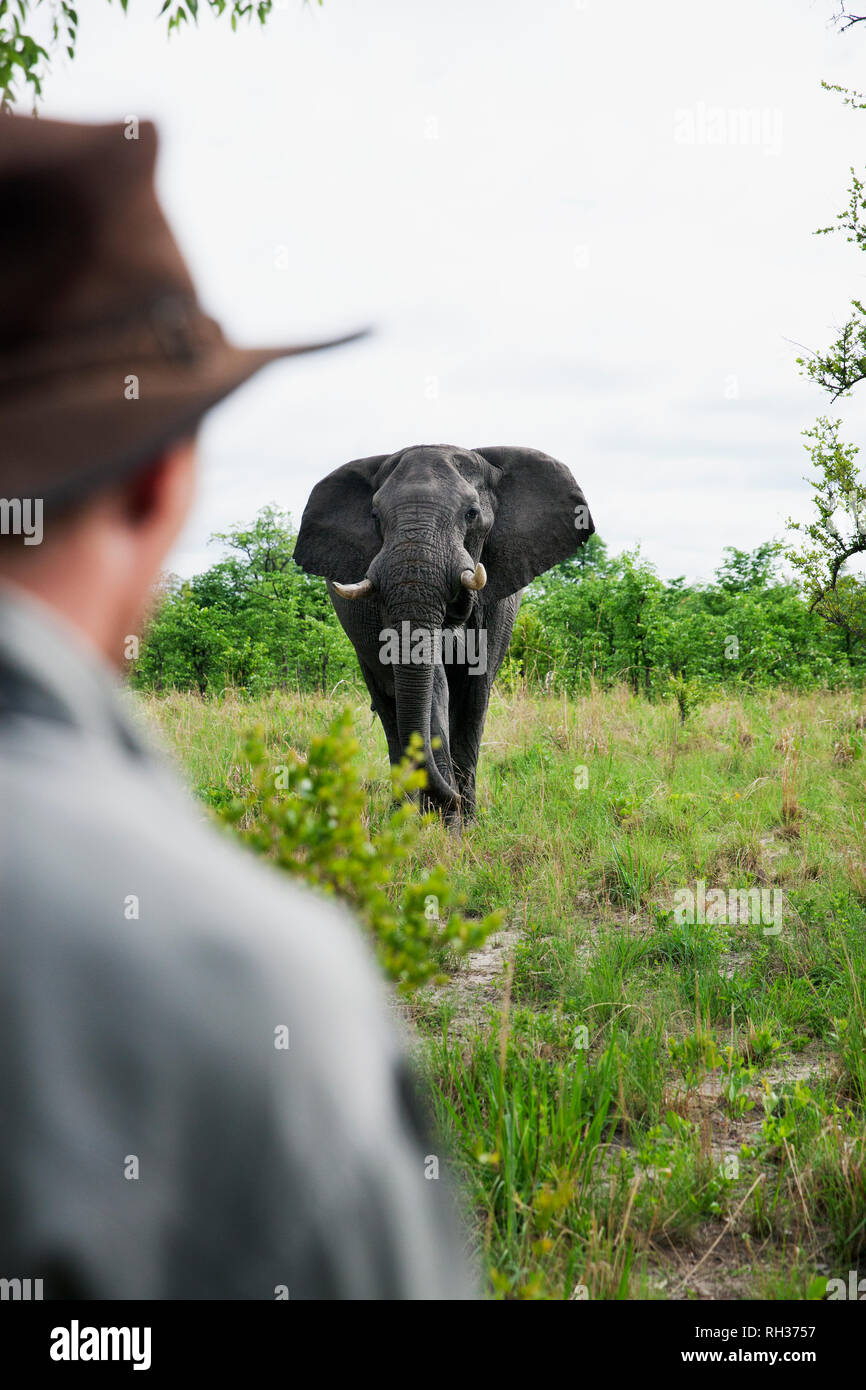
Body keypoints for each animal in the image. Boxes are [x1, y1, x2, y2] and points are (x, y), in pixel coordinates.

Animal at [294, 444, 594, 824]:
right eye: (375, 516)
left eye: (471, 513)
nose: (454, 800)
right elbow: (433, 684)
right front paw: (446, 820)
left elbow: (473, 693)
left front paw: (466, 823)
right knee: (389, 708)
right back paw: (404, 814)